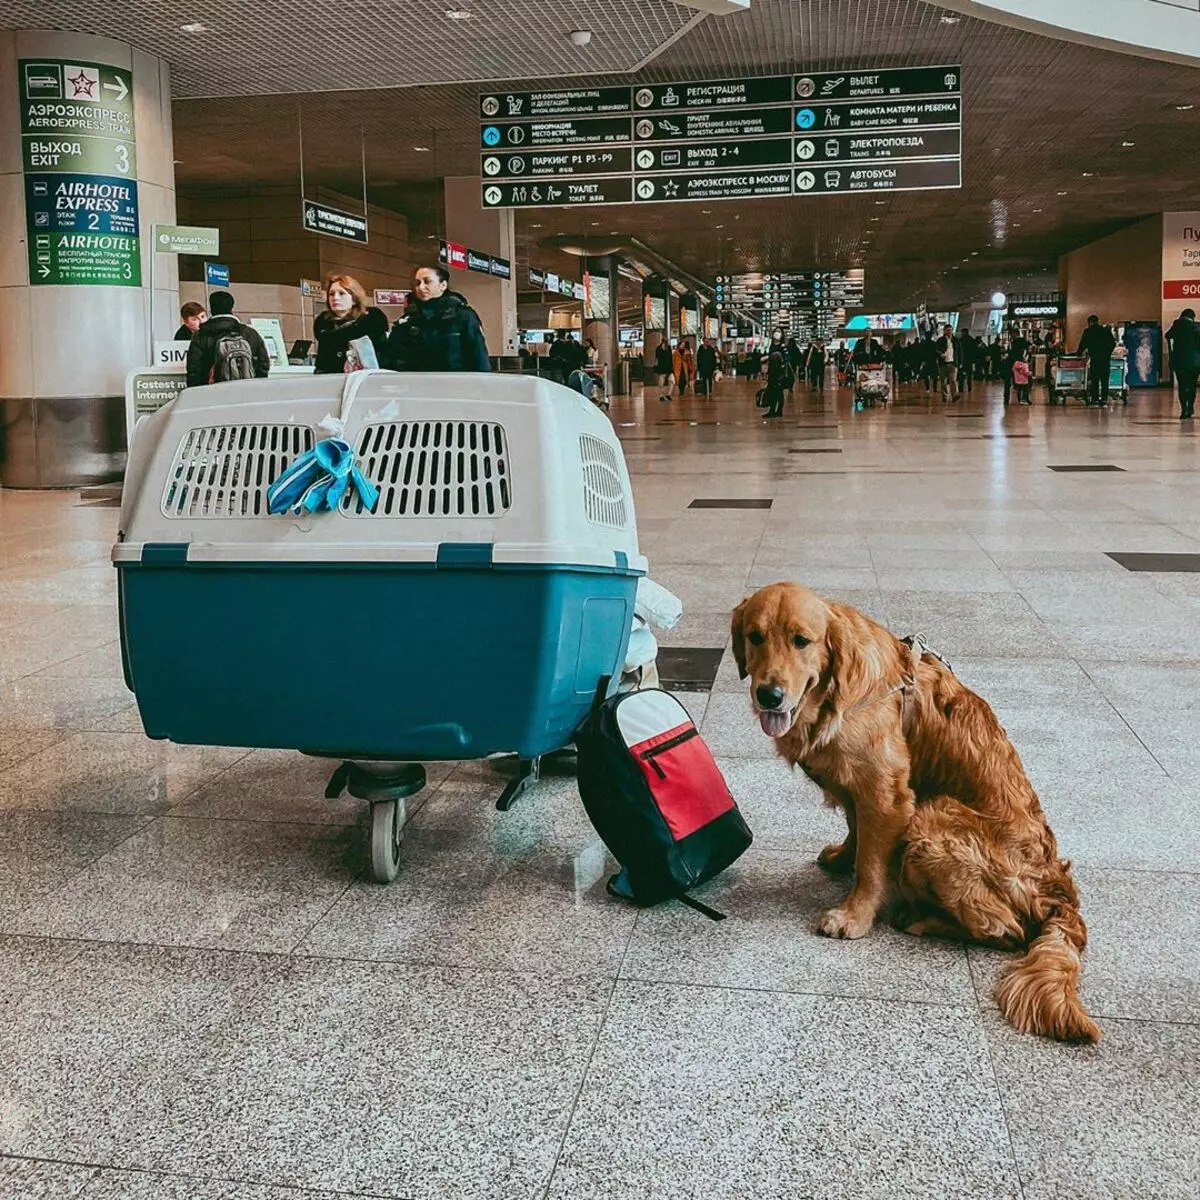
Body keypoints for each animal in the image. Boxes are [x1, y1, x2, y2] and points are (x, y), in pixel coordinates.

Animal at [729, 580, 1099, 1041]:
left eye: (801, 640)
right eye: (755, 637)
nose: (769, 694)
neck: (835, 693)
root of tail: (1058, 890)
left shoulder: (886, 790)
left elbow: (871, 866)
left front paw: (854, 915)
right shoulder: (861, 788)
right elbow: (857, 831)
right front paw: (842, 857)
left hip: (932, 818)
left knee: (1006, 930)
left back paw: (919, 919)